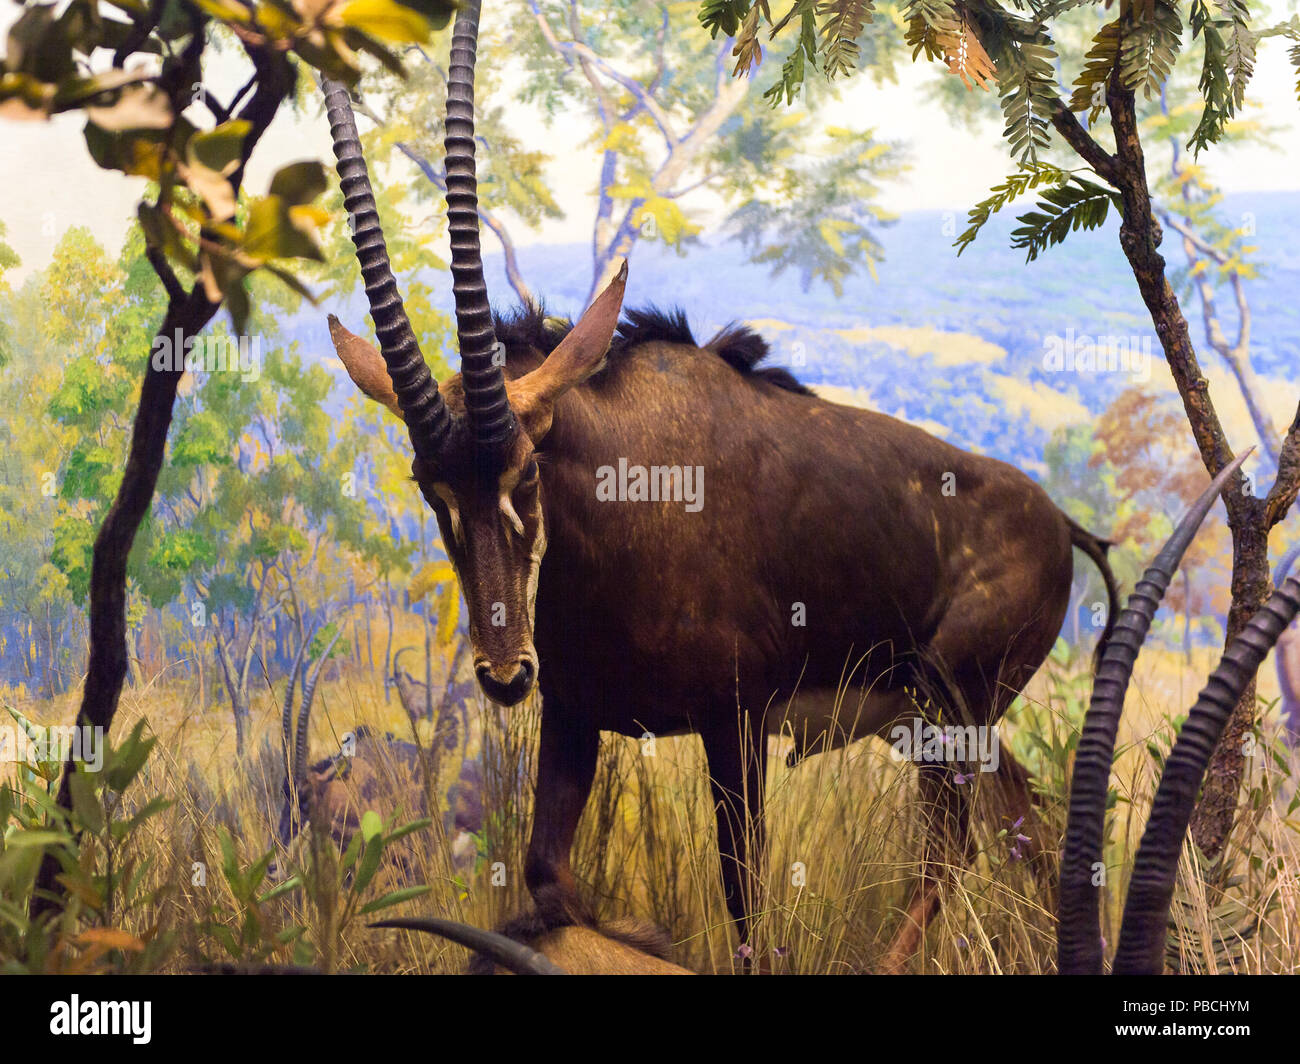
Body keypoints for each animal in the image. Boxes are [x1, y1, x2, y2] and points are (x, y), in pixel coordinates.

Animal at [320, 0, 1121, 968]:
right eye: (429, 487)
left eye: (525, 468)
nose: (506, 672)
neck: (624, 504)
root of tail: (1062, 523)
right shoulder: (576, 715)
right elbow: (549, 879)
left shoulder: (733, 724)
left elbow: (749, 912)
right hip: (941, 720)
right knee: (1025, 829)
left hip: (948, 707)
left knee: (954, 849)